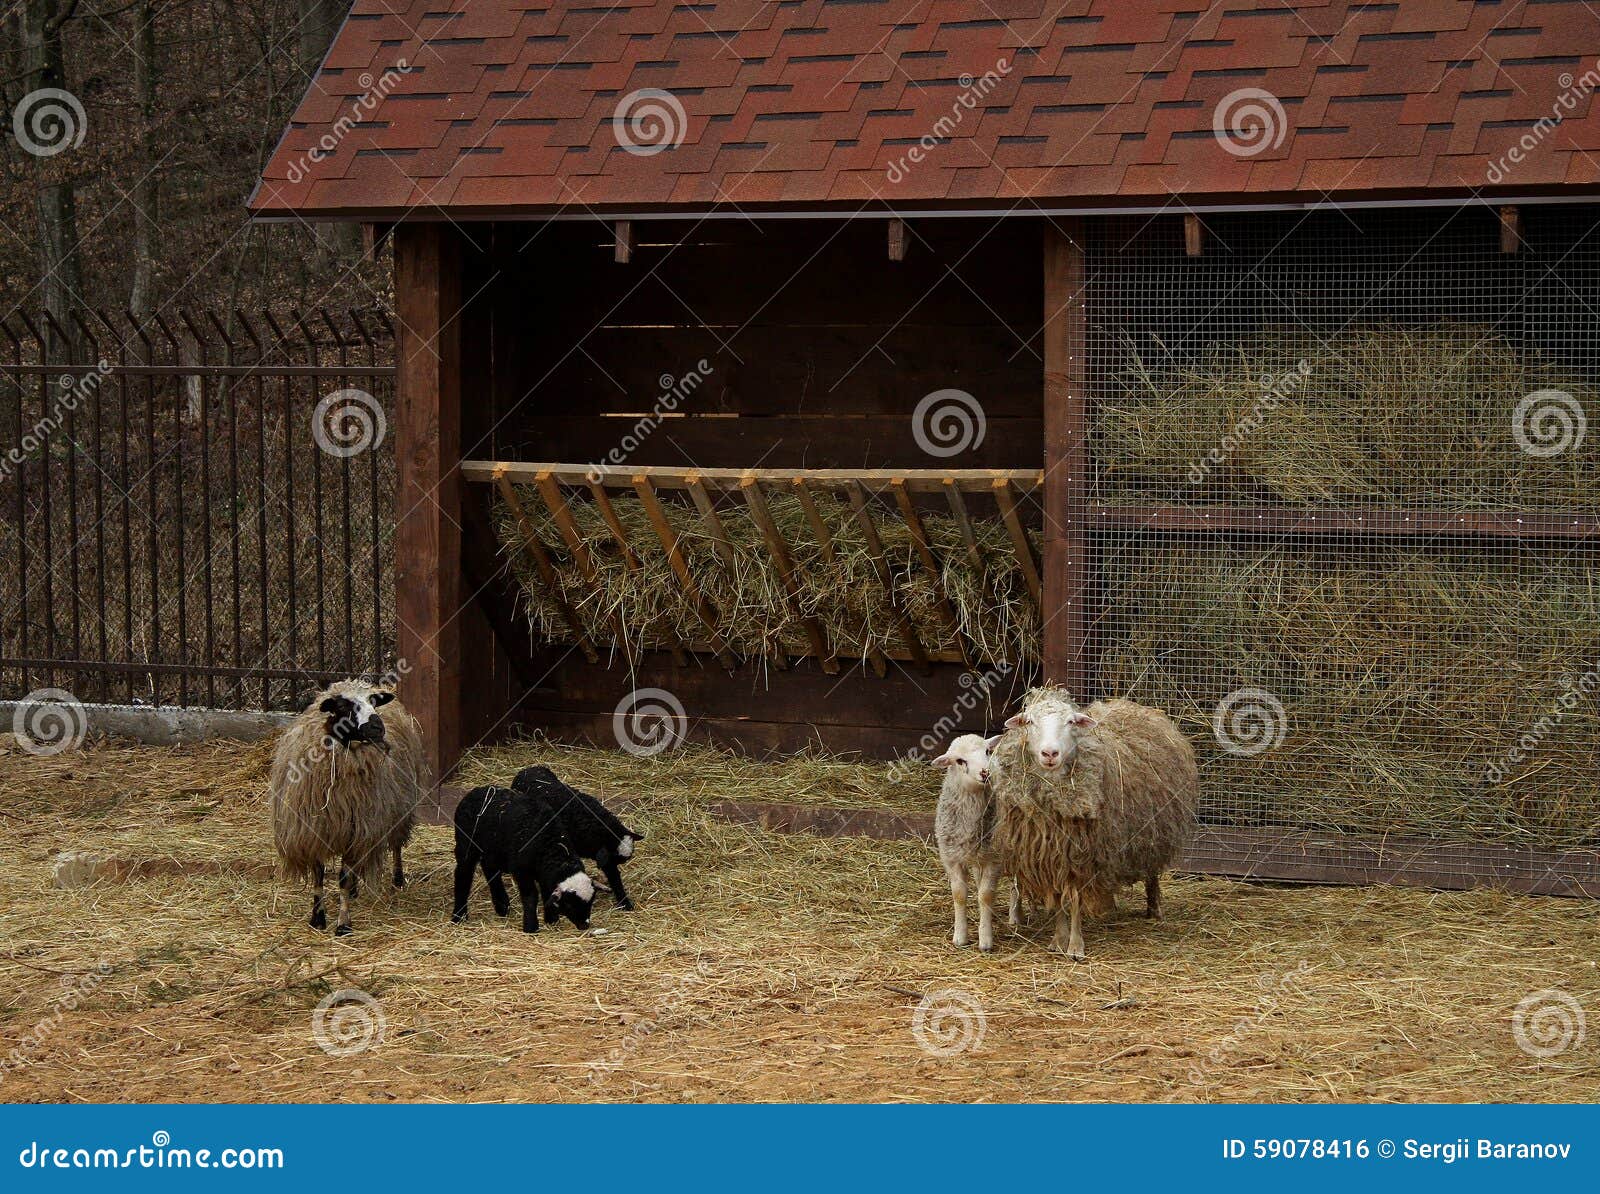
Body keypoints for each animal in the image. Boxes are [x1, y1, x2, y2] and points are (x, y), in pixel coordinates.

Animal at [269, 680, 430, 935]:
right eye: (344, 706)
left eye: (373, 702)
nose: (377, 727)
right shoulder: (314, 831)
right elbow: (318, 875)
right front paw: (317, 918)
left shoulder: (357, 831)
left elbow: (343, 878)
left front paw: (343, 923)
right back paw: (355, 891)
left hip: (399, 812)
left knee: (396, 846)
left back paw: (397, 880)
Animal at [451, 785, 595, 932]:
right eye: (570, 905)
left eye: (590, 903)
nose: (584, 925)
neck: (549, 843)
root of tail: (474, 791)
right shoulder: (522, 870)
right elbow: (530, 896)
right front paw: (531, 926)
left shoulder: (544, 873)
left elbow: (546, 892)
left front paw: (551, 920)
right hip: (466, 844)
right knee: (463, 874)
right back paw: (459, 915)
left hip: (492, 849)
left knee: (489, 869)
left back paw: (502, 906)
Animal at [931, 733, 1019, 951]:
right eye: (960, 761)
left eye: (987, 751)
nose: (985, 772)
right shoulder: (952, 859)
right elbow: (959, 894)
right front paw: (960, 937)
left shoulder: (994, 859)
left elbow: (985, 895)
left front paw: (985, 940)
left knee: (1014, 881)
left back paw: (1015, 916)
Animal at [991, 686, 1197, 960]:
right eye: (1030, 722)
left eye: (1070, 722)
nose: (1049, 754)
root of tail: (1135, 705)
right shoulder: (1051, 857)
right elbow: (1058, 900)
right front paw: (1058, 940)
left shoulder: (1084, 855)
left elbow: (1075, 901)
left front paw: (1076, 946)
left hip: (1155, 831)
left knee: (1152, 873)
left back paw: (1154, 910)